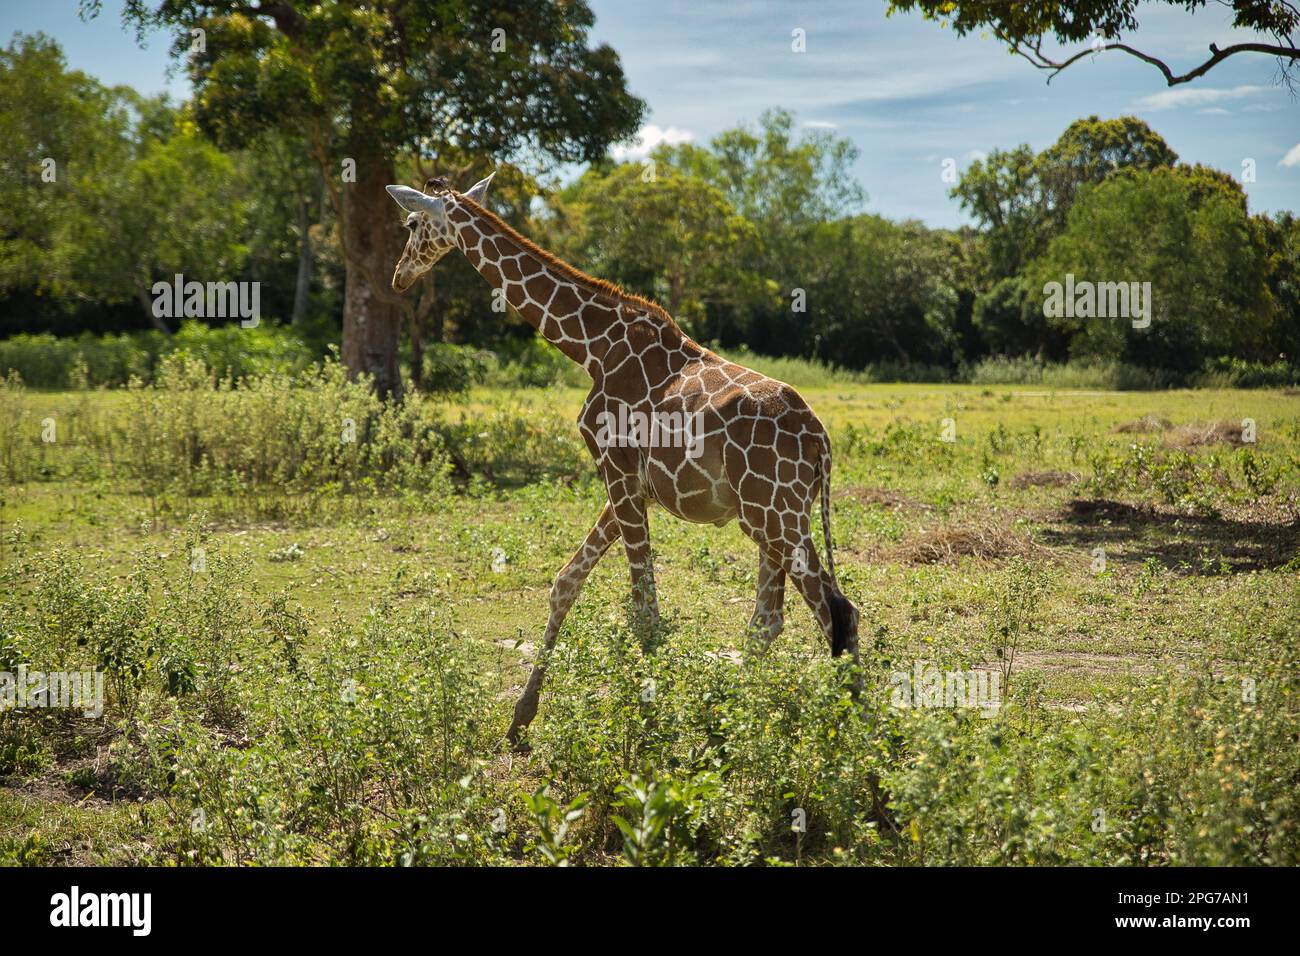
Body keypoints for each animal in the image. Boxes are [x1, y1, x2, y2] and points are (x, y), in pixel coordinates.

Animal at [387, 174, 861, 746]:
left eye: (412, 223)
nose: (399, 276)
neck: (590, 345)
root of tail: (819, 439)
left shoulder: (617, 471)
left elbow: (644, 614)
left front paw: (648, 731)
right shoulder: (633, 484)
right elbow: (566, 582)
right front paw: (520, 720)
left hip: (775, 515)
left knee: (836, 610)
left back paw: (858, 742)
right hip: (773, 517)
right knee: (771, 621)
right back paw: (737, 731)